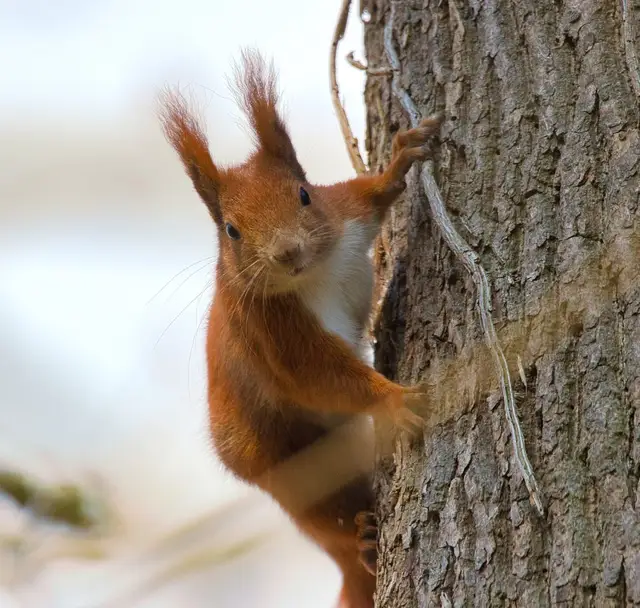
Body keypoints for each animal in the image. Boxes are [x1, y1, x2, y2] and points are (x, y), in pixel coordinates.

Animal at [159, 49, 442, 608]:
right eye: (231, 230)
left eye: (306, 195)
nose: (287, 252)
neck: (315, 273)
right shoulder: (269, 329)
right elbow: (318, 375)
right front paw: (393, 399)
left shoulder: (347, 214)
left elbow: (371, 196)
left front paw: (399, 162)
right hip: (293, 467)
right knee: (329, 519)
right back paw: (364, 541)